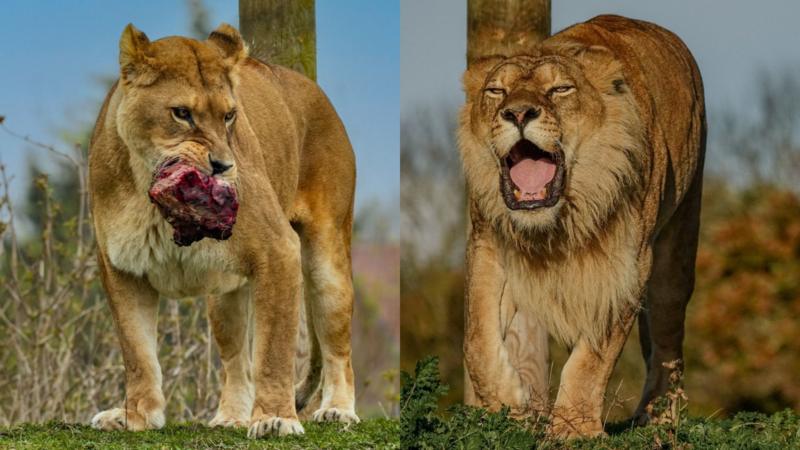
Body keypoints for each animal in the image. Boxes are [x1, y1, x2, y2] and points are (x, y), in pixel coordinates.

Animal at [88, 23, 359, 437]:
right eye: (182, 113)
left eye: (230, 116)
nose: (223, 165)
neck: (153, 196)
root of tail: (314, 89)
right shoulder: (121, 267)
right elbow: (138, 353)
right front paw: (136, 416)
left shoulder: (279, 250)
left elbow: (274, 350)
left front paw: (276, 419)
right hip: (224, 291)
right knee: (236, 362)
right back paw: (230, 416)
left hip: (327, 261)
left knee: (337, 346)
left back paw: (338, 410)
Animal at [458, 15, 705, 438]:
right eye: (496, 91)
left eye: (560, 89)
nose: (517, 114)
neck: (558, 223)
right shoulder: (489, 242)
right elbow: (477, 340)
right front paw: (512, 406)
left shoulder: (628, 262)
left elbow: (593, 356)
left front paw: (572, 429)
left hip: (676, 251)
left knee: (669, 342)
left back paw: (658, 417)